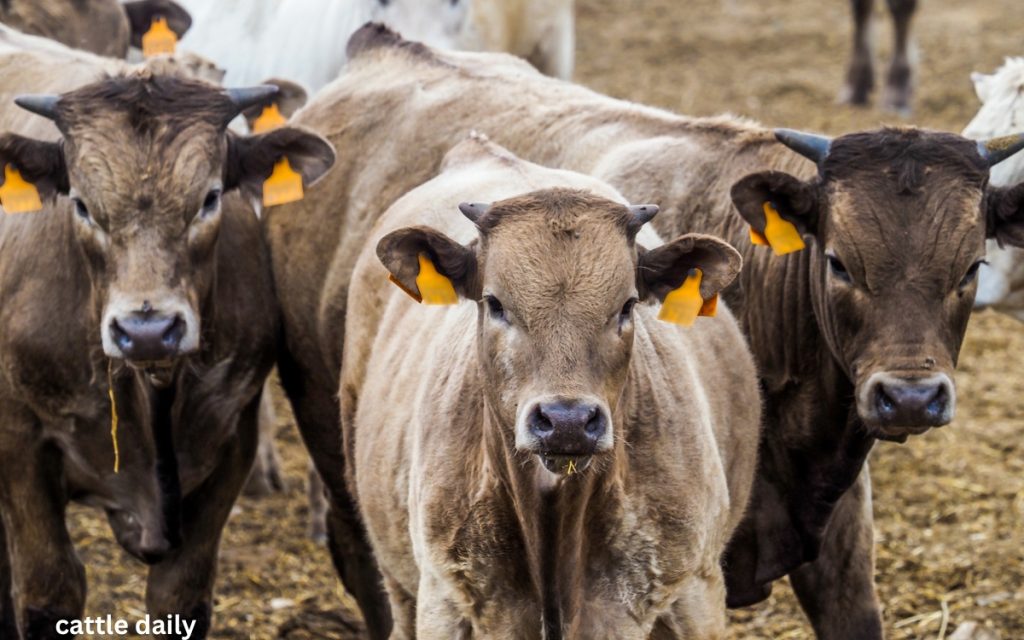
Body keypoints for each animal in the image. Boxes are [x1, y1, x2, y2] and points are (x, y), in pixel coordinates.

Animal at [0, 42, 334, 639]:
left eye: (210, 197)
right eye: (81, 205)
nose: (147, 331)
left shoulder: (232, 442)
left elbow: (180, 594)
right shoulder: (19, 443)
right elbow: (48, 591)